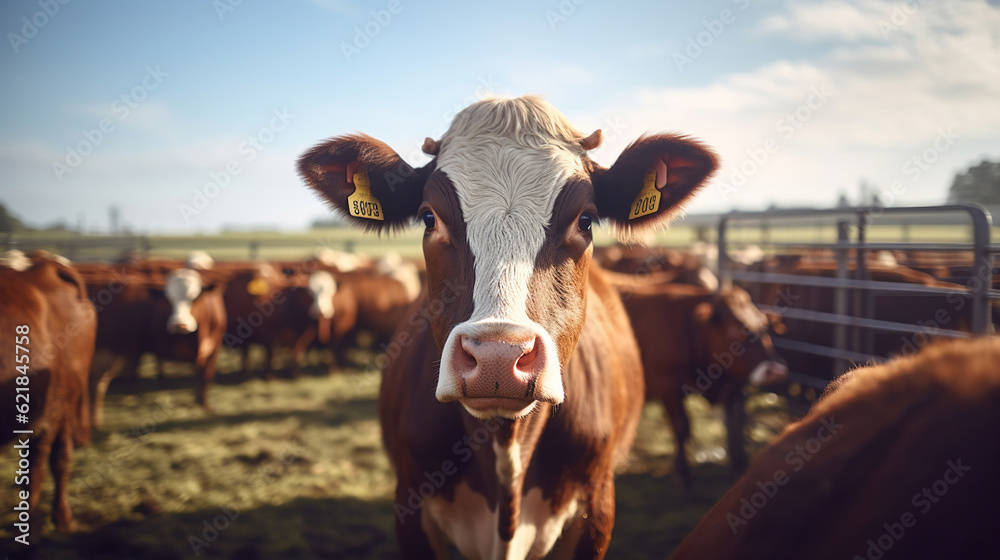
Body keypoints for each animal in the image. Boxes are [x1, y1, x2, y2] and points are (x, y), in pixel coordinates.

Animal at [613, 281, 787, 489]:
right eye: (734, 331)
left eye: (764, 327)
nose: (776, 371)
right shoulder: (668, 387)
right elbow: (681, 428)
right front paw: (683, 474)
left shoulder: (733, 386)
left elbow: (735, 425)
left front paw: (740, 467)